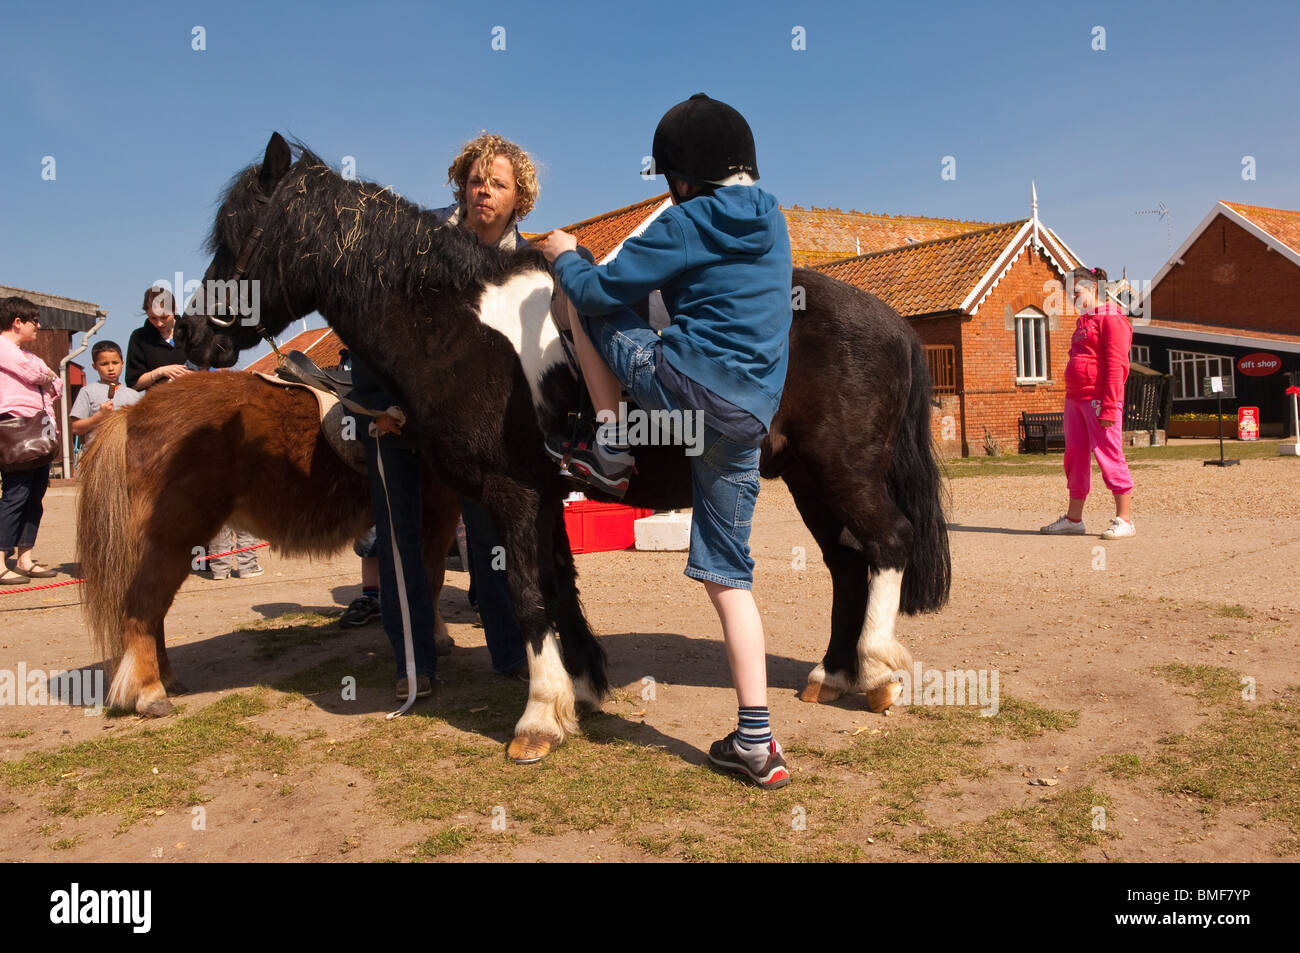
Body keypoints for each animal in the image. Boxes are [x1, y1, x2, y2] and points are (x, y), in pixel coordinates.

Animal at [77, 370, 461, 716]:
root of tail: (132, 413)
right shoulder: (436, 510)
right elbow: (430, 579)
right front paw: (437, 638)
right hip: (174, 539)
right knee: (142, 609)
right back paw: (150, 692)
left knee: (153, 613)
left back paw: (167, 679)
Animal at [176, 132, 950, 763]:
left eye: (240, 234)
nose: (192, 335)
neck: (461, 330)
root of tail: (890, 321)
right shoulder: (543, 496)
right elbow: (559, 589)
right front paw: (579, 686)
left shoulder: (514, 494)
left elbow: (526, 596)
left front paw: (539, 718)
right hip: (812, 479)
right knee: (848, 561)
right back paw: (833, 673)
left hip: (844, 472)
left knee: (888, 542)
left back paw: (878, 673)